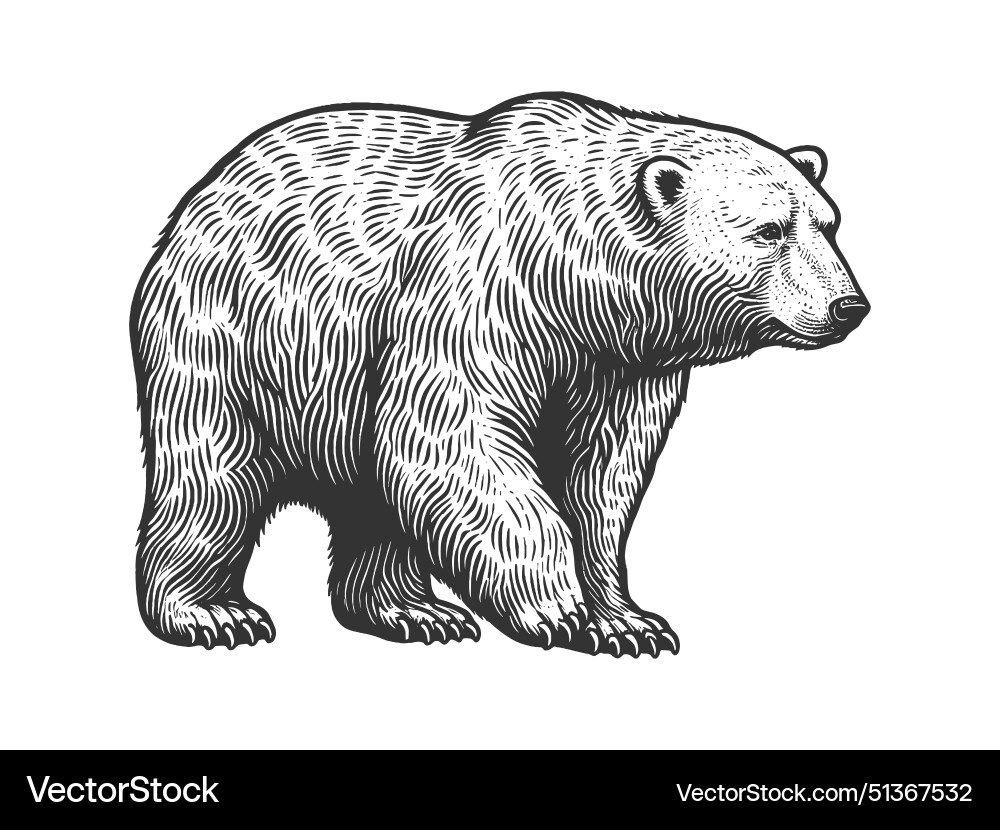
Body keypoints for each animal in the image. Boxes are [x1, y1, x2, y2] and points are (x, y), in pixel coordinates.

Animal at [131, 92, 868, 657]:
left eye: (829, 223)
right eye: (768, 229)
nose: (849, 305)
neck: (578, 275)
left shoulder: (616, 363)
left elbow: (603, 478)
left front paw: (627, 621)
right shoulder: (477, 292)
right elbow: (453, 437)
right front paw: (561, 610)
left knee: (374, 499)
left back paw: (416, 612)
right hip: (230, 339)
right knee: (210, 478)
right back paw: (214, 614)